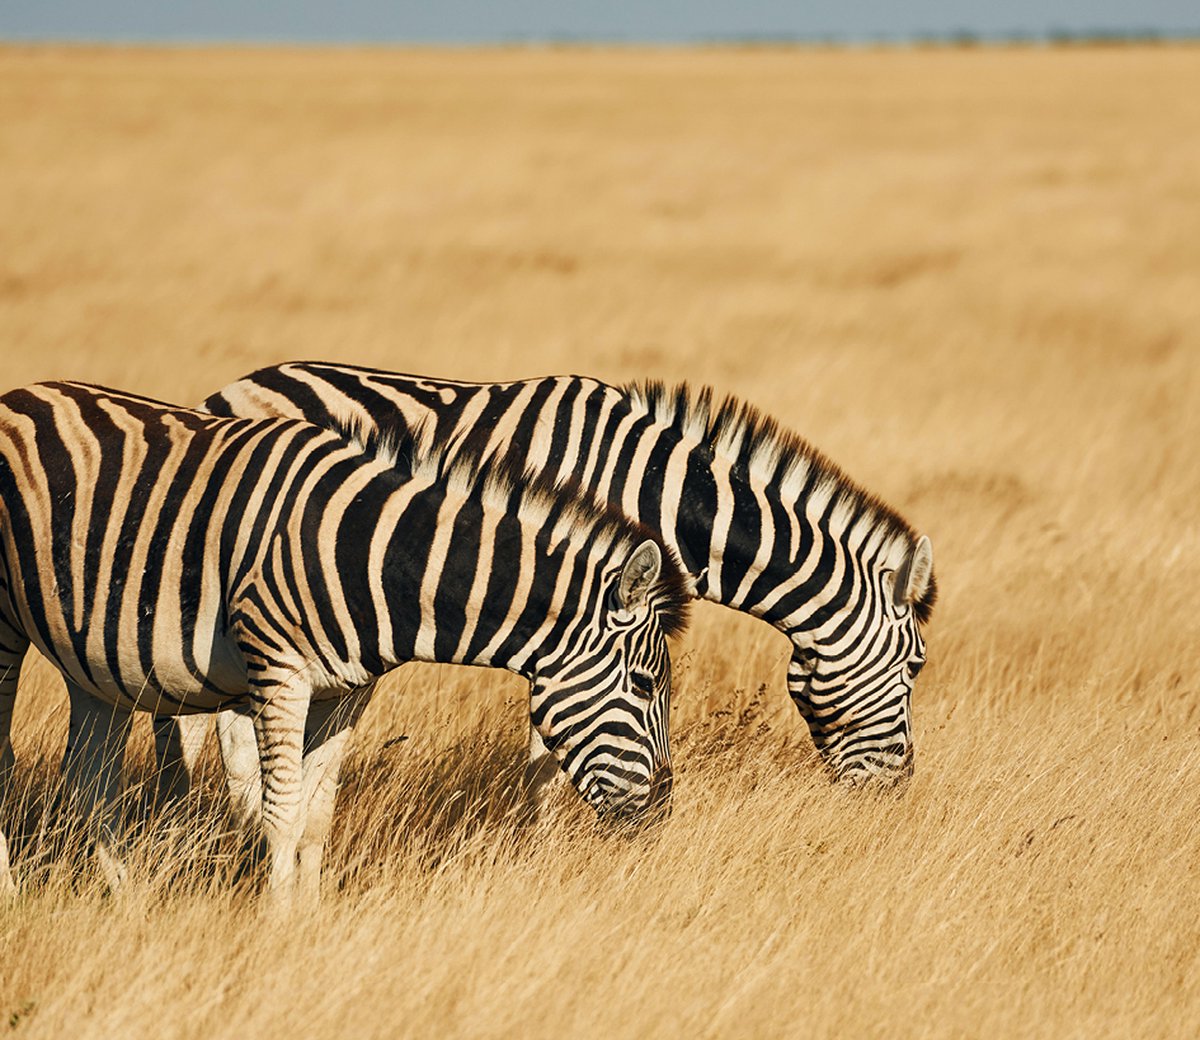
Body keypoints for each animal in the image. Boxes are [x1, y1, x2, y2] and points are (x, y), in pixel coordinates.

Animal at [0, 381, 687, 900]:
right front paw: (277, 929)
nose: (663, 813)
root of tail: (20, 393)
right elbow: (280, 813)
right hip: (6, 629)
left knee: (90, 783)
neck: (377, 556)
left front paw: (310, 922)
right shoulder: (277, 670)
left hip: (93, 660)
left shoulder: (346, 693)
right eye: (646, 683)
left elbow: (316, 816)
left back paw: (129, 906)